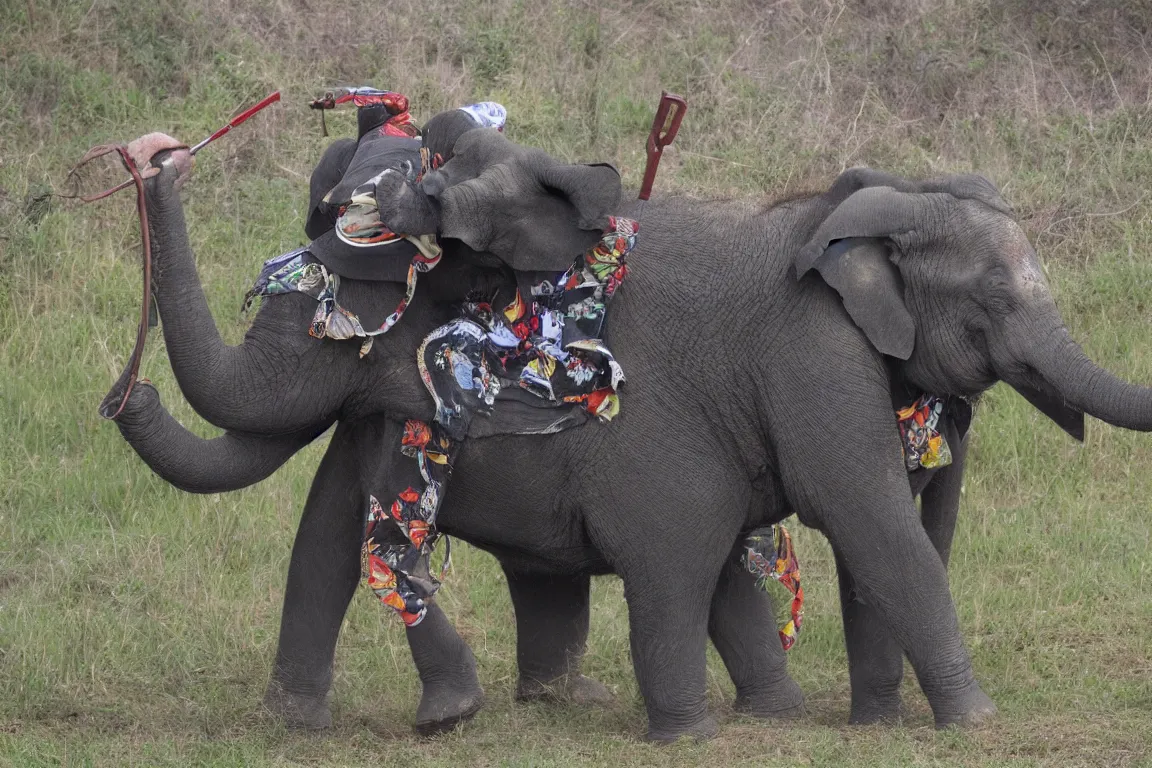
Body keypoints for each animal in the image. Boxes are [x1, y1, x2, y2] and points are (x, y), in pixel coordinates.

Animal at [102, 122, 1152, 741]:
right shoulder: (809, 350)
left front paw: (879, 725)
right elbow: (866, 516)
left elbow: (895, 528)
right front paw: (972, 724)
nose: (126, 395)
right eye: (993, 300)